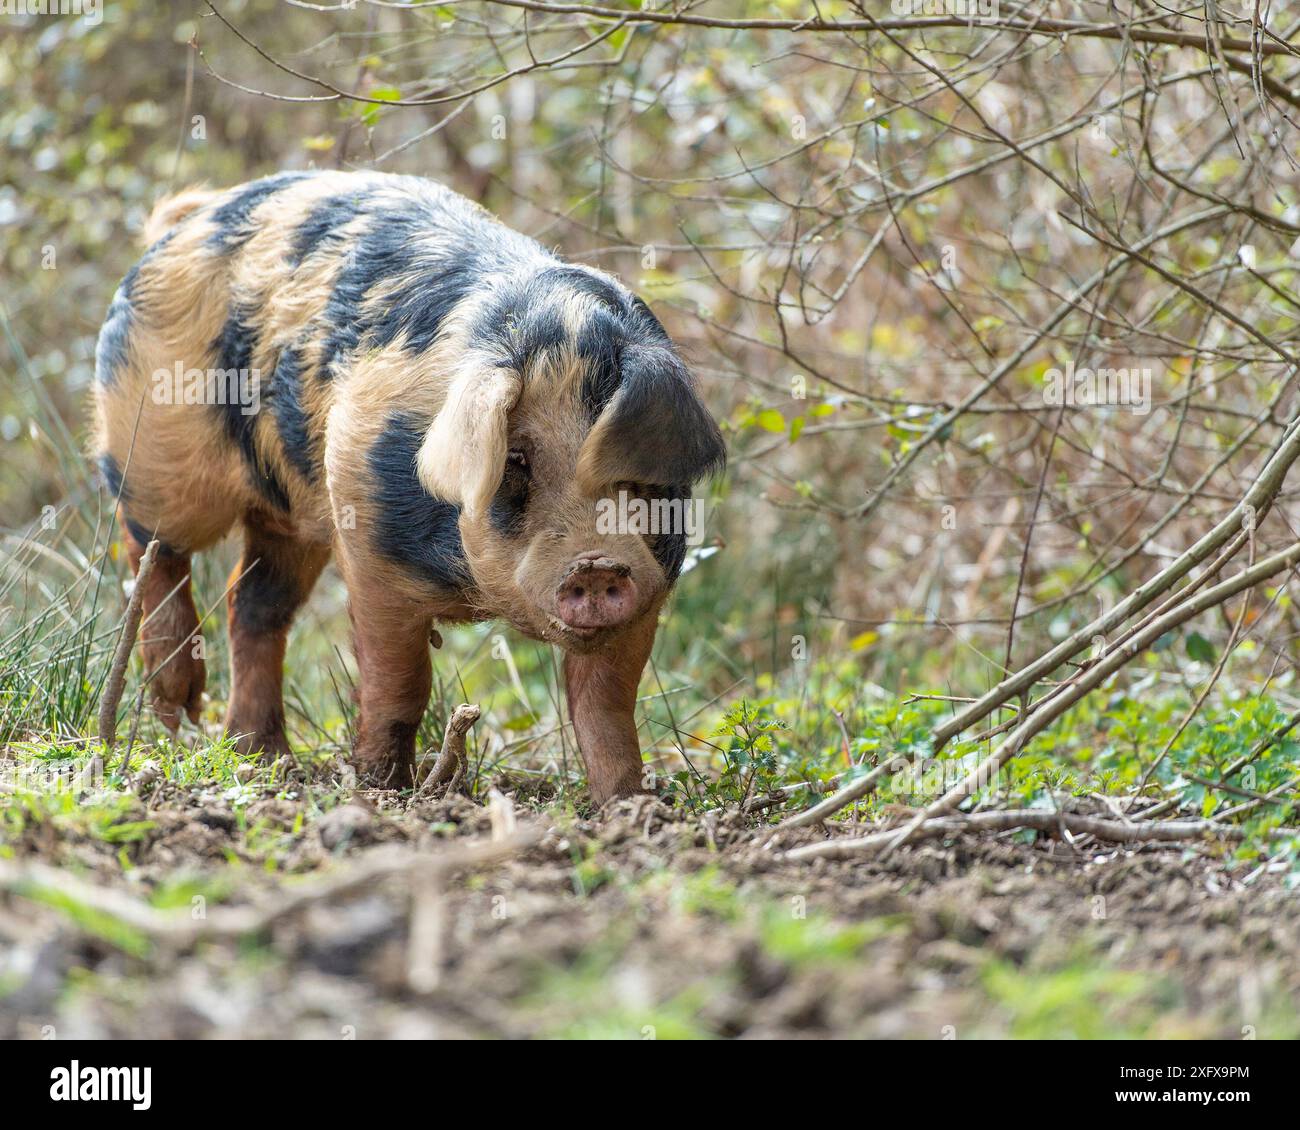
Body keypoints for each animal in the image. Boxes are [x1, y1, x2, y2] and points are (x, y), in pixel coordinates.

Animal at [92, 170, 724, 804]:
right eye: (516, 458)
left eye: (628, 469)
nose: (594, 564)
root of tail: (191, 217)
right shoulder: (369, 537)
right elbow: (399, 681)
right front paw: (385, 790)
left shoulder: (649, 585)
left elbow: (606, 705)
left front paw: (629, 803)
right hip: (157, 446)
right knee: (151, 545)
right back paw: (180, 706)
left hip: (291, 518)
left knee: (253, 605)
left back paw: (262, 756)